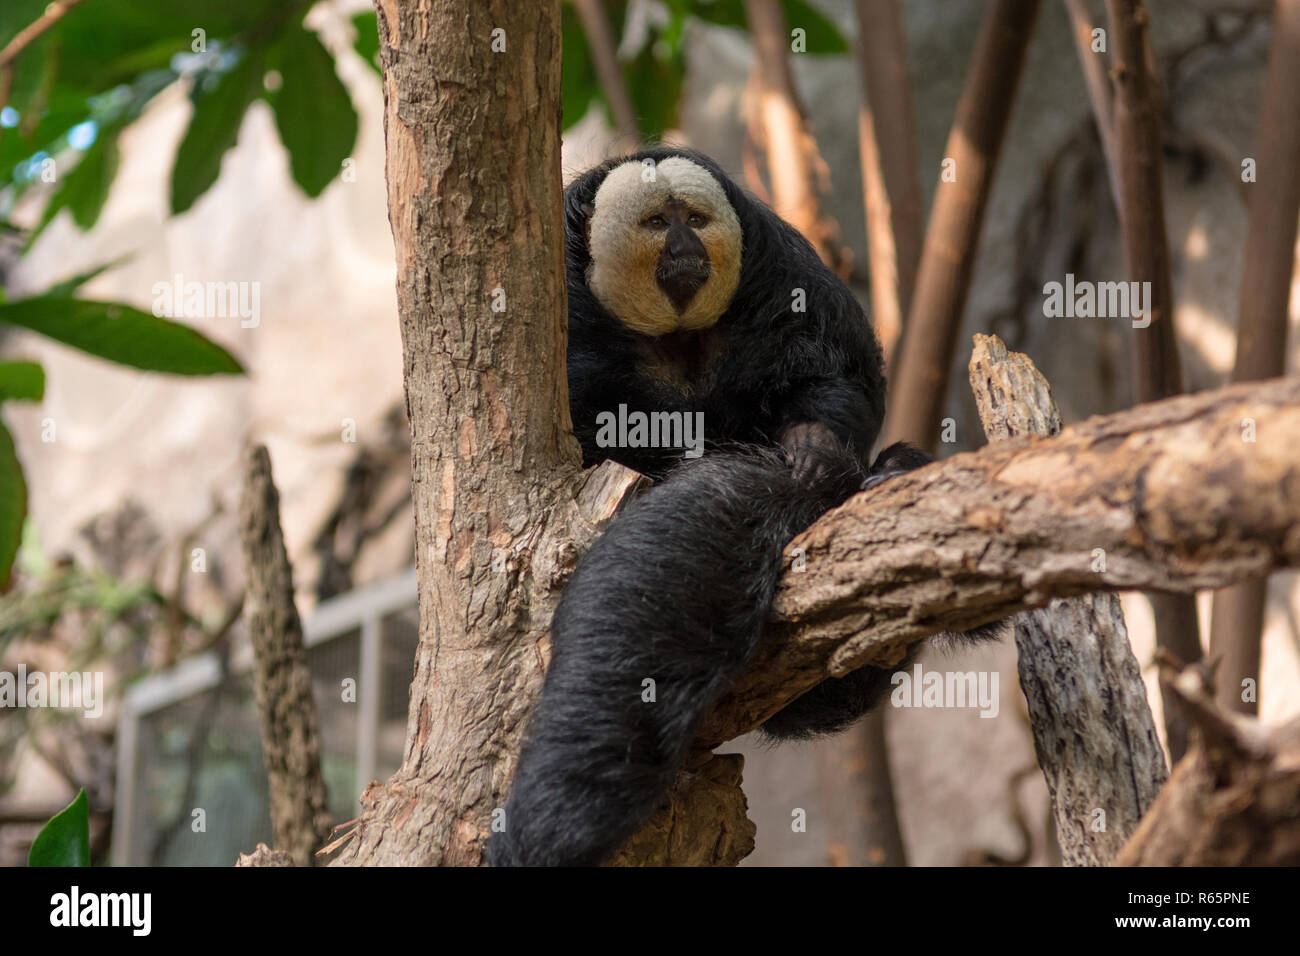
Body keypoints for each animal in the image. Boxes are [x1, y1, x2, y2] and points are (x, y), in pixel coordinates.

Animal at [486, 148, 999, 867]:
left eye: (694, 220)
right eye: (657, 223)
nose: (683, 247)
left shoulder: (779, 272)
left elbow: (839, 377)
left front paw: (816, 452)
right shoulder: (567, 310)